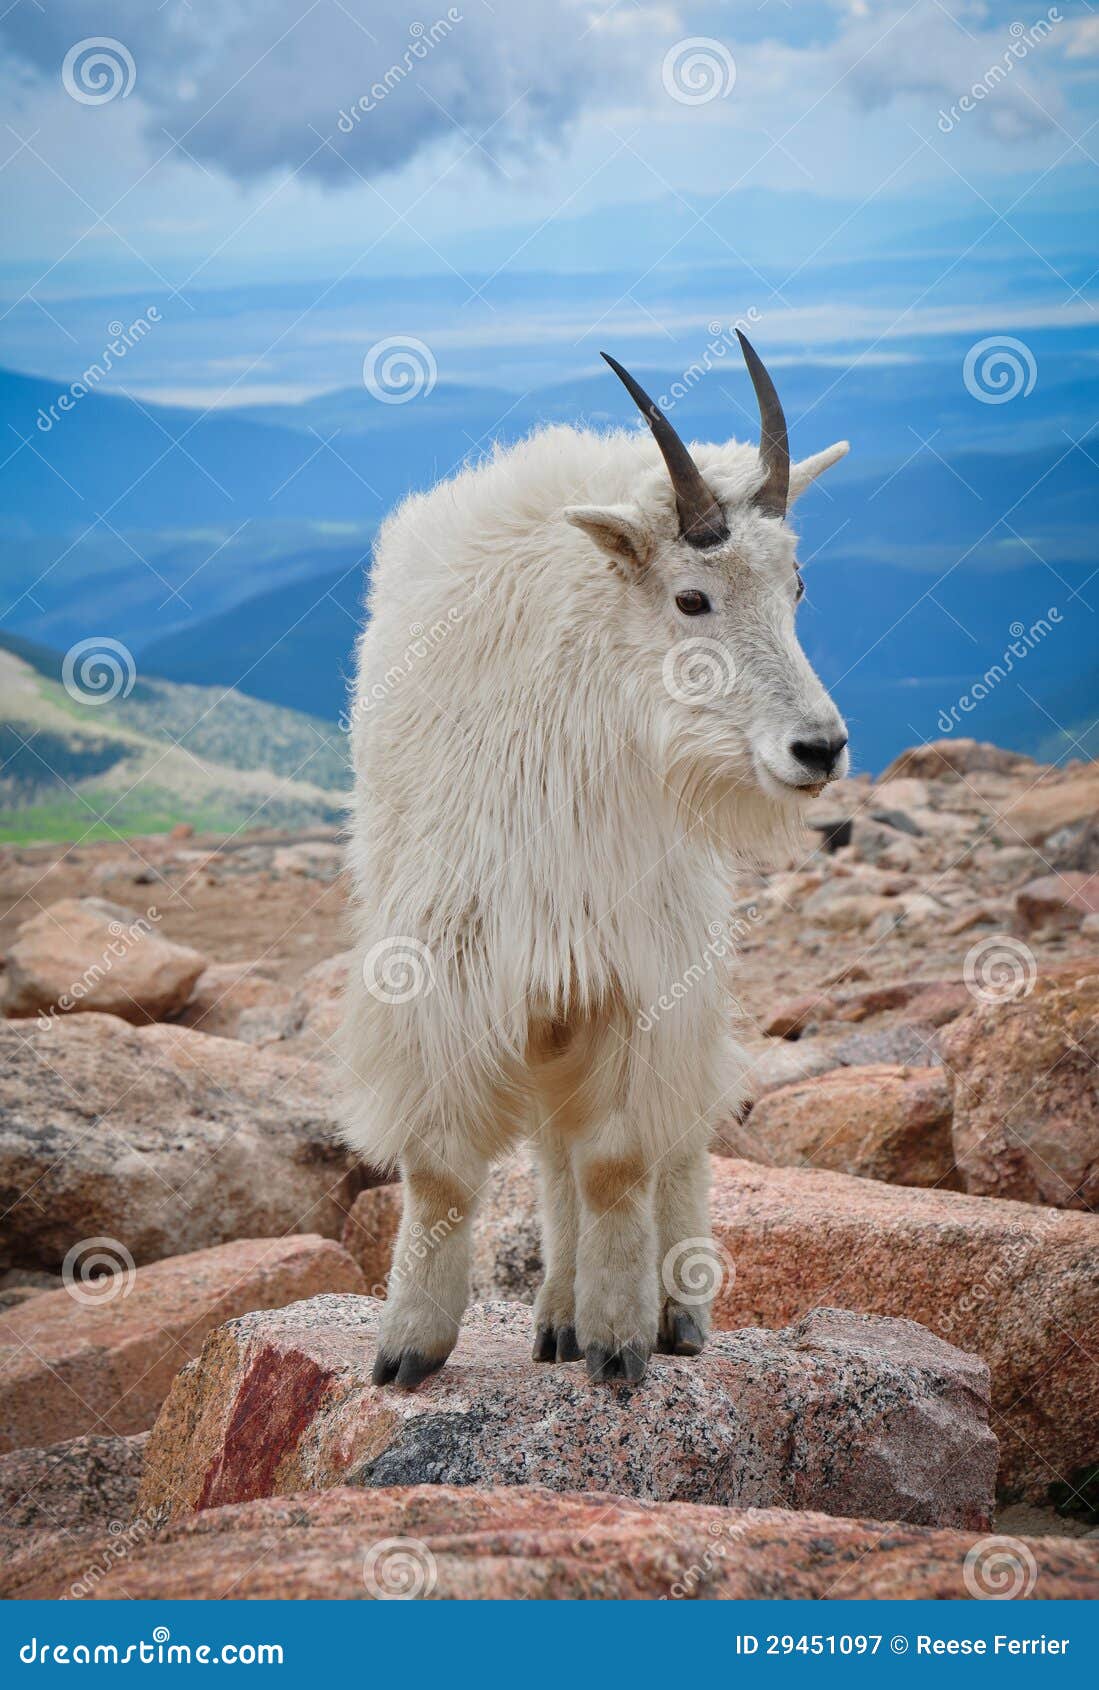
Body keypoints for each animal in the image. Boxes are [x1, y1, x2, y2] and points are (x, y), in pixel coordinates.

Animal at [339, 335, 849, 1386]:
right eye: (691, 598)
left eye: (796, 587)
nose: (819, 749)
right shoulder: (453, 970)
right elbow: (443, 1169)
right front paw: (408, 1347)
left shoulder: (639, 974)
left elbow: (618, 1159)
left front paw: (621, 1340)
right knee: (550, 1147)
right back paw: (555, 1319)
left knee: (667, 1136)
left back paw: (667, 1314)